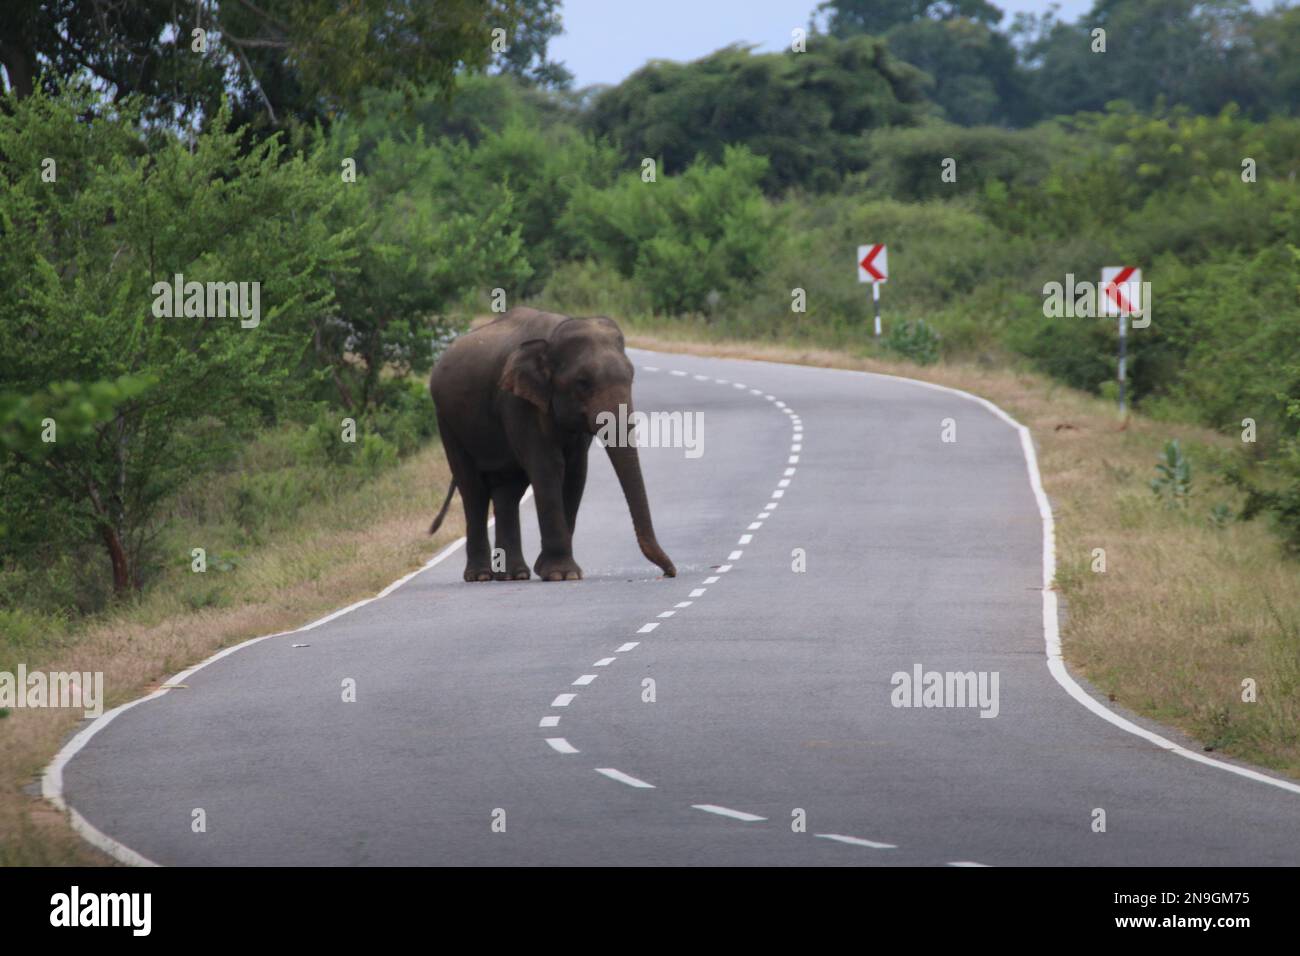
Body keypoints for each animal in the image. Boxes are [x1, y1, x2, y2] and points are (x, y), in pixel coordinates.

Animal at [427, 307, 676, 583]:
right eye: (582, 382)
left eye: (631, 378)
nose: (670, 572)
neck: (555, 335)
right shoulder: (517, 402)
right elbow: (548, 467)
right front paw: (561, 574)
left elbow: (576, 472)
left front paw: (556, 571)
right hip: (447, 421)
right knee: (474, 490)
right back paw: (480, 576)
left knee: (508, 490)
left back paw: (515, 575)